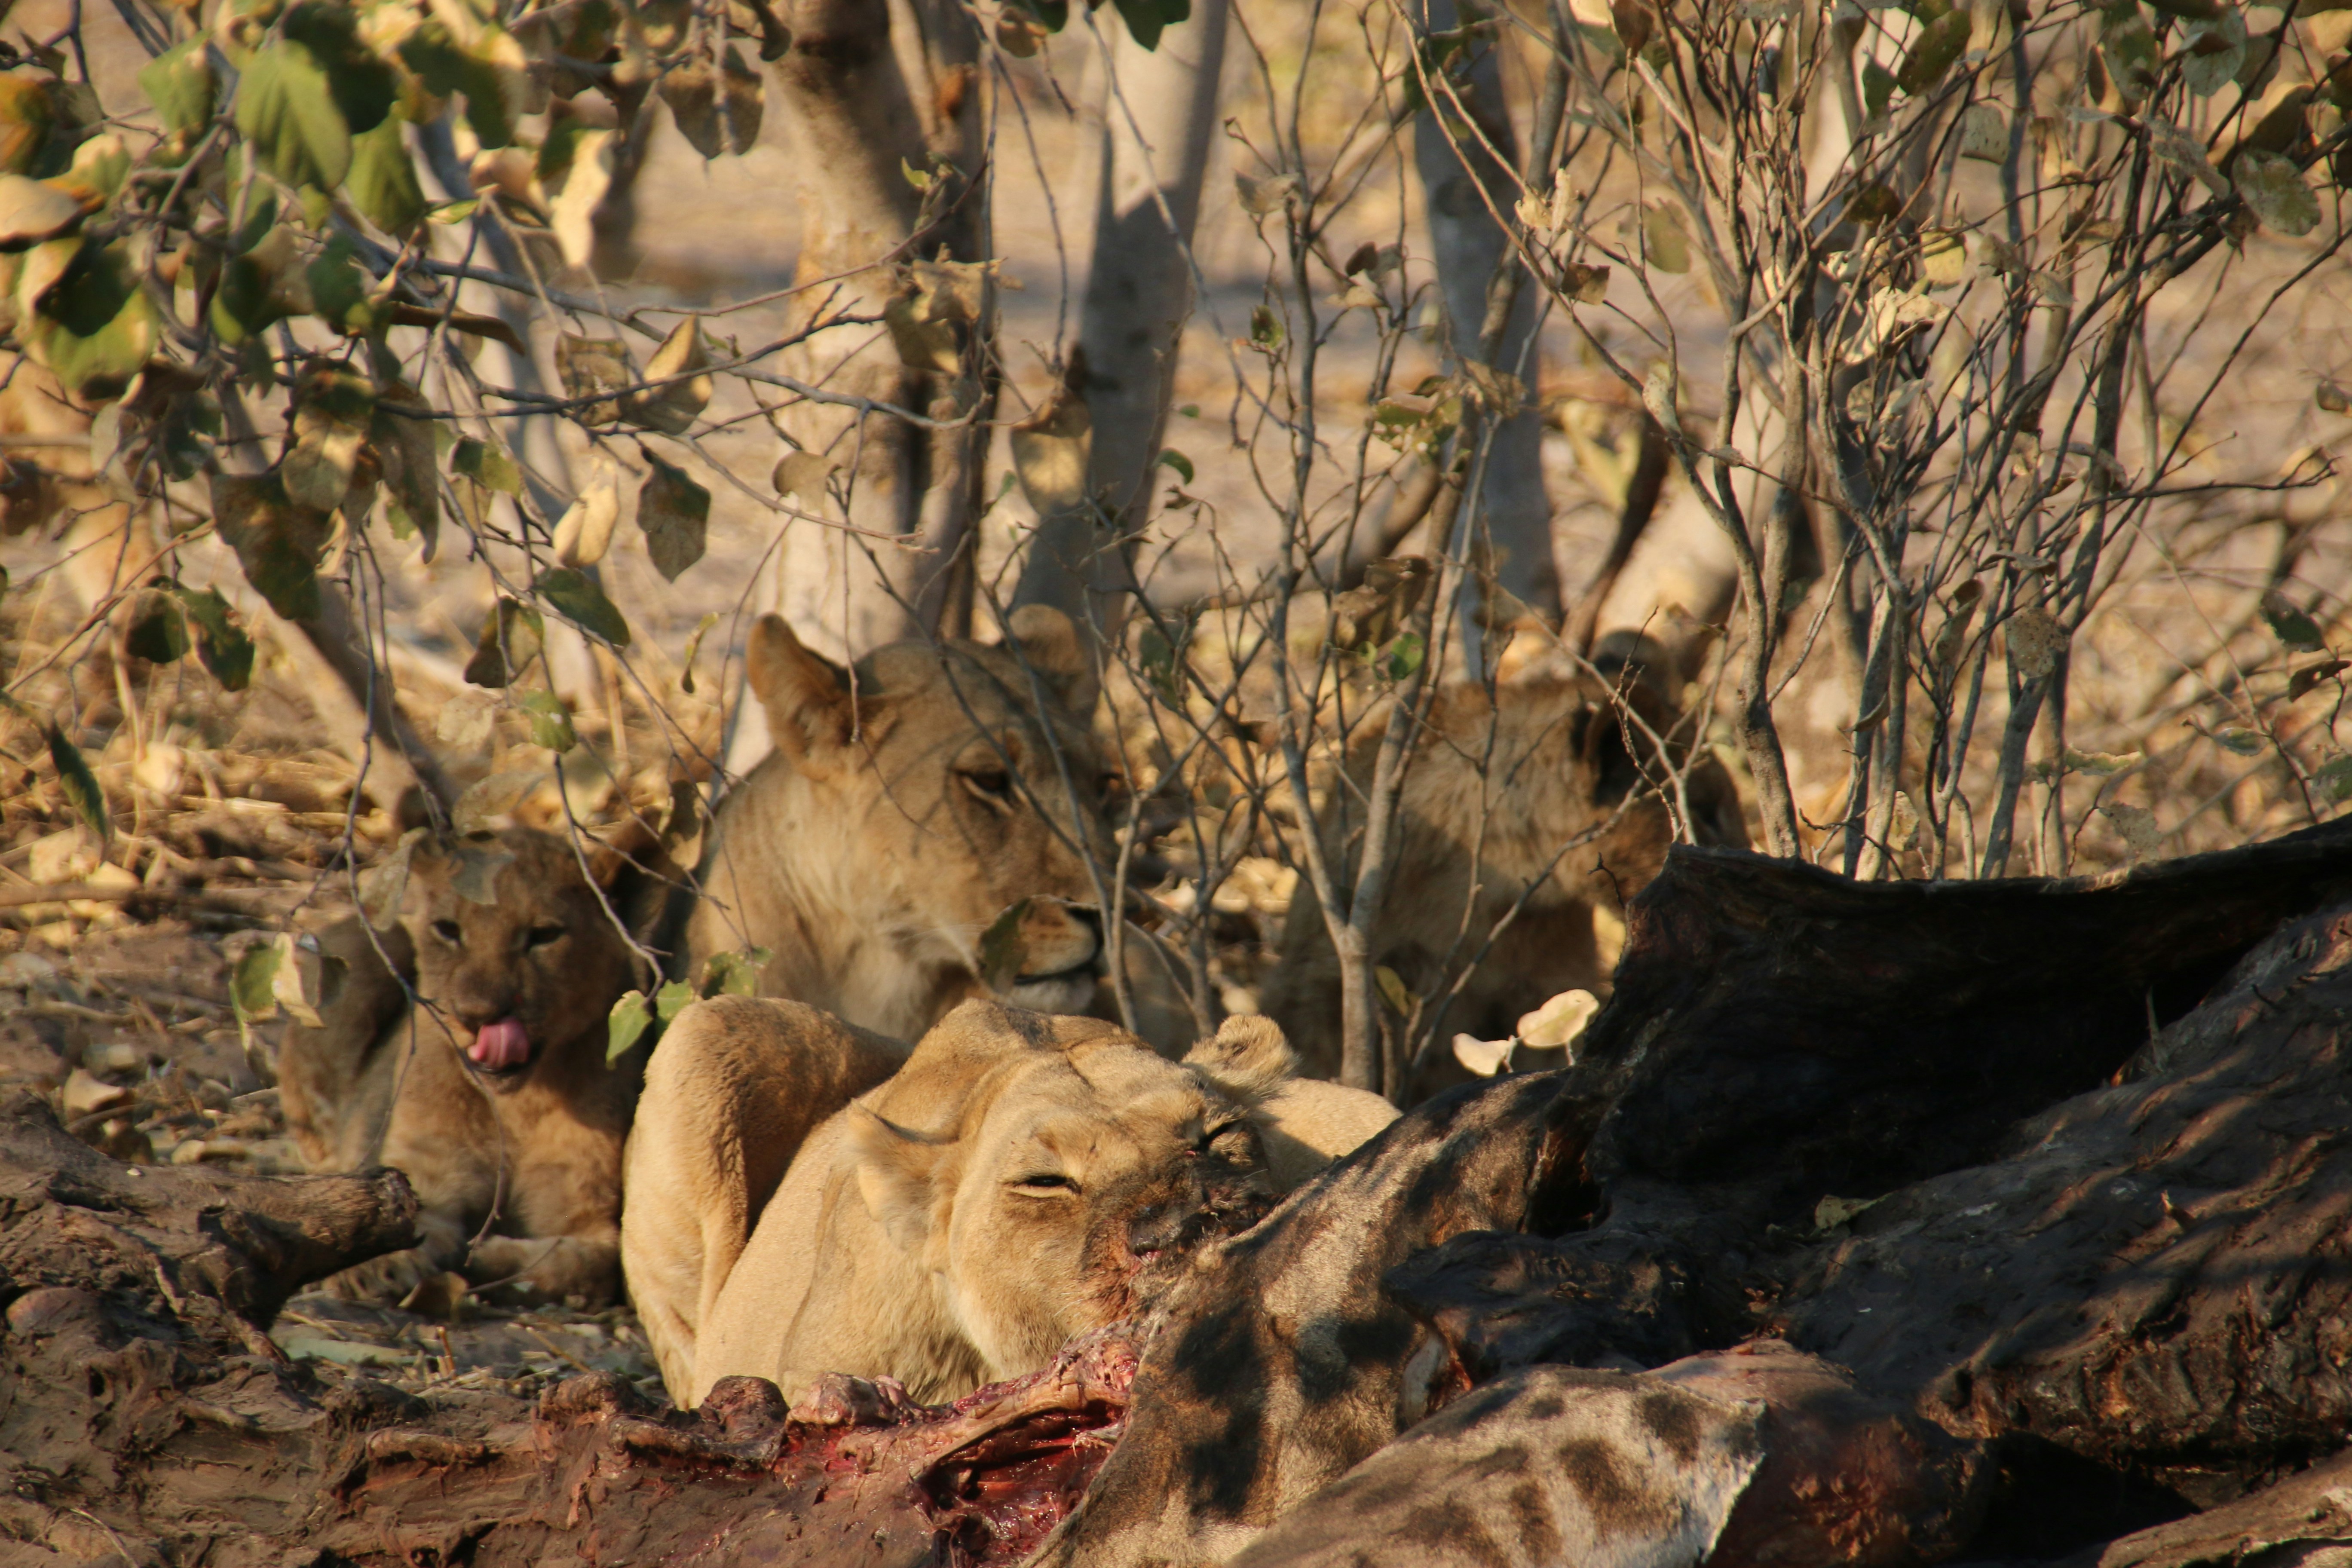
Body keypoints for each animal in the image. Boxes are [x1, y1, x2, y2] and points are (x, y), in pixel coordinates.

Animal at [277, 827, 649, 1307]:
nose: (477, 1015)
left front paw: (482, 1259)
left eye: (544, 935)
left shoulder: (589, 1219)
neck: (517, 1106)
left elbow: (583, 1262)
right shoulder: (426, 1177)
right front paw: (367, 1266)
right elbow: (399, 1219)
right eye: (449, 930)